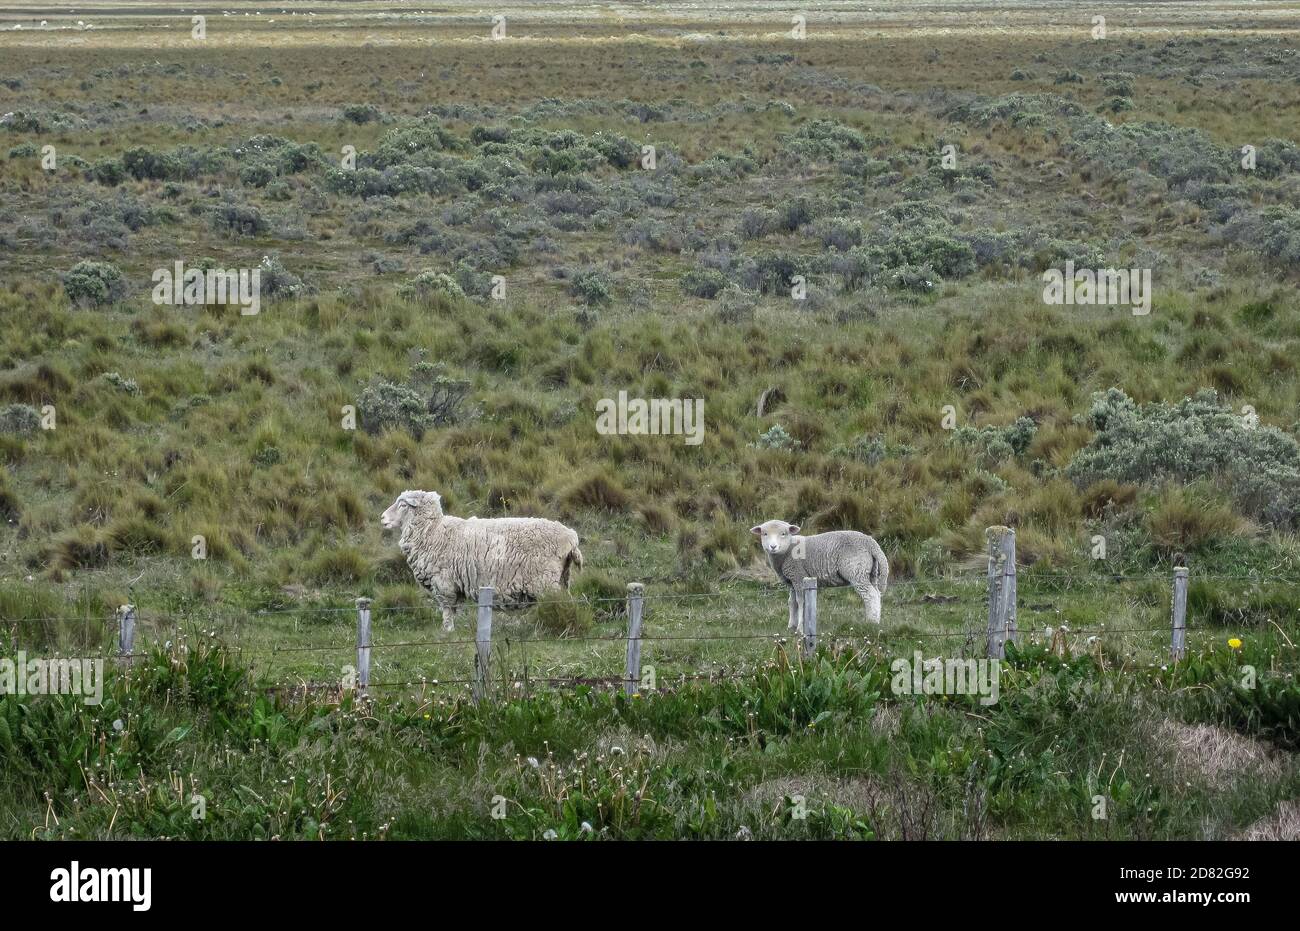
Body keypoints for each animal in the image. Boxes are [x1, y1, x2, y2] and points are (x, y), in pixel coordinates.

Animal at [381, 490, 584, 631]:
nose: (382, 518)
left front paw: (446, 631)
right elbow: (454, 609)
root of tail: (571, 536)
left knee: (557, 604)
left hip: (546, 581)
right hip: (562, 578)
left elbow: (447, 610)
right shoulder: (455, 585)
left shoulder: (444, 583)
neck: (432, 530)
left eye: (403, 505)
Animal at [750, 520, 889, 629]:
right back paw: (876, 619)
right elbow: (792, 602)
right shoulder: (791, 581)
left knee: (870, 595)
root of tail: (871, 543)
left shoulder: (798, 576)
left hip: (856, 570)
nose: (773, 546)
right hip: (871, 572)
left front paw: (800, 628)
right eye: (764, 534)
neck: (788, 550)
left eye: (783, 533)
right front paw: (791, 626)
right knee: (876, 594)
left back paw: (871, 623)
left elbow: (801, 601)